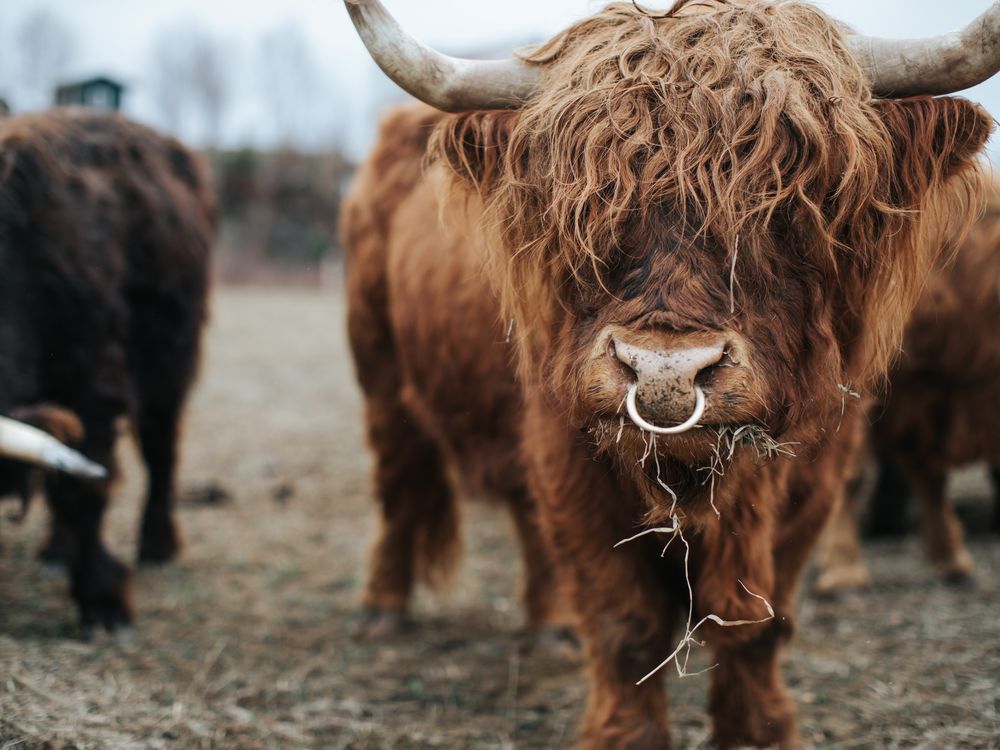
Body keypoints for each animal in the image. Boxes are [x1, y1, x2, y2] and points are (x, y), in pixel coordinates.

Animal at [0, 109, 213, 636]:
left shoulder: (92, 381)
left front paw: (102, 602)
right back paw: (56, 551)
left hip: (169, 362)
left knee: (162, 452)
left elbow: (86, 489)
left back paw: (157, 545)